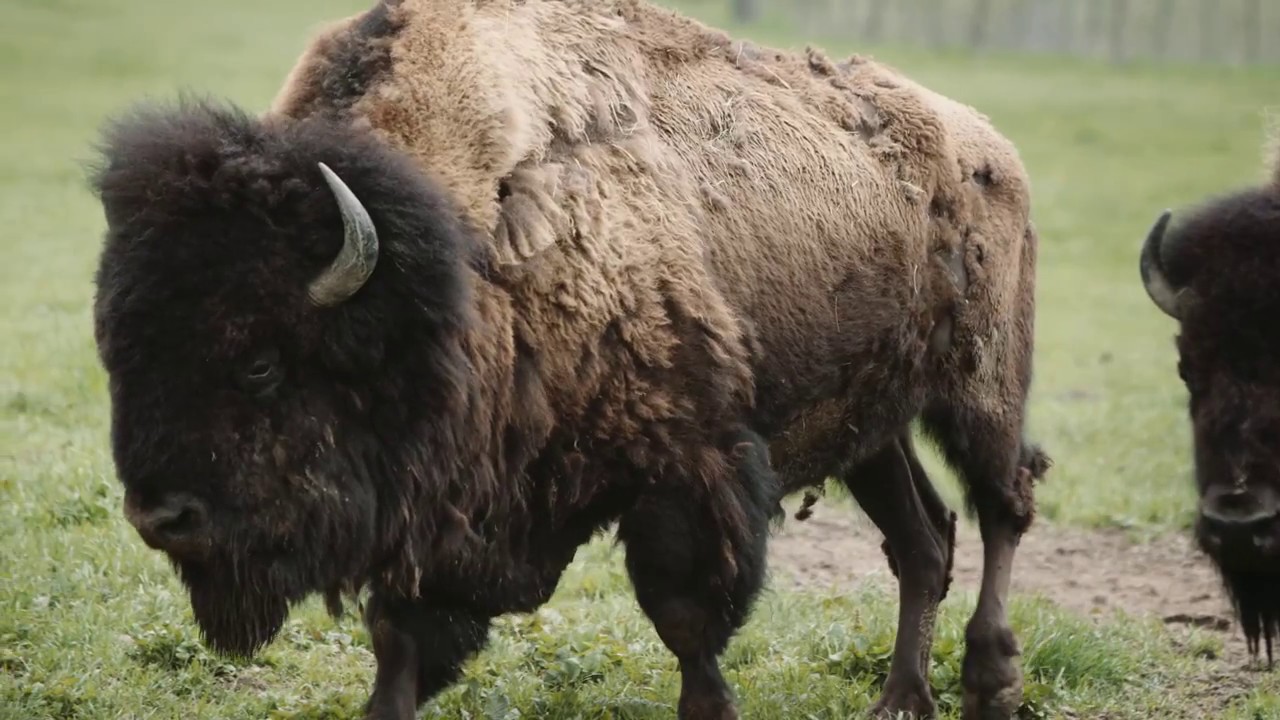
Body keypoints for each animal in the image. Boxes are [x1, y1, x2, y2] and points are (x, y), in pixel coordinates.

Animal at [89, 1, 1048, 718]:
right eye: (119, 354)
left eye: (259, 363)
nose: (160, 516)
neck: (457, 261)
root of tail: (986, 142)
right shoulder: (447, 502)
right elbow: (400, 641)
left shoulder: (688, 463)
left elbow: (686, 619)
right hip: (868, 419)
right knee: (923, 539)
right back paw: (902, 698)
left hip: (980, 386)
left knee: (1003, 504)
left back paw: (989, 681)